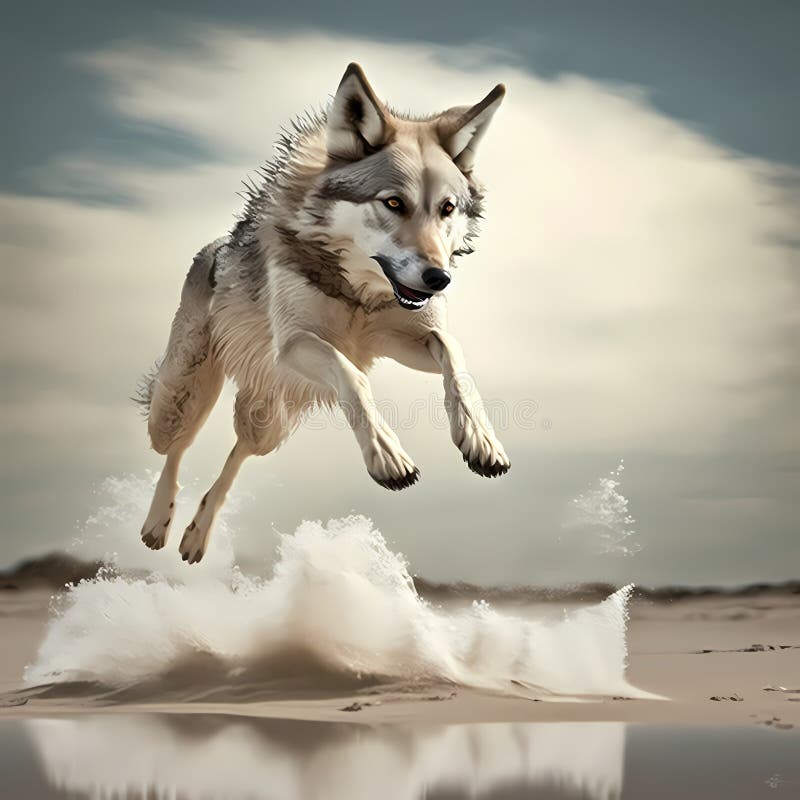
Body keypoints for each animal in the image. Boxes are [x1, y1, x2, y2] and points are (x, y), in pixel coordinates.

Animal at [138, 63, 510, 563]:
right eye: (394, 202)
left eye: (447, 208)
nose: (438, 278)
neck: (358, 292)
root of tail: (213, 247)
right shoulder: (298, 344)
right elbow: (352, 377)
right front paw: (389, 457)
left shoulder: (401, 339)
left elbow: (455, 357)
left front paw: (482, 440)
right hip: (186, 397)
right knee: (174, 450)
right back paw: (157, 524)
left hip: (268, 420)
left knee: (235, 457)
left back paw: (196, 536)